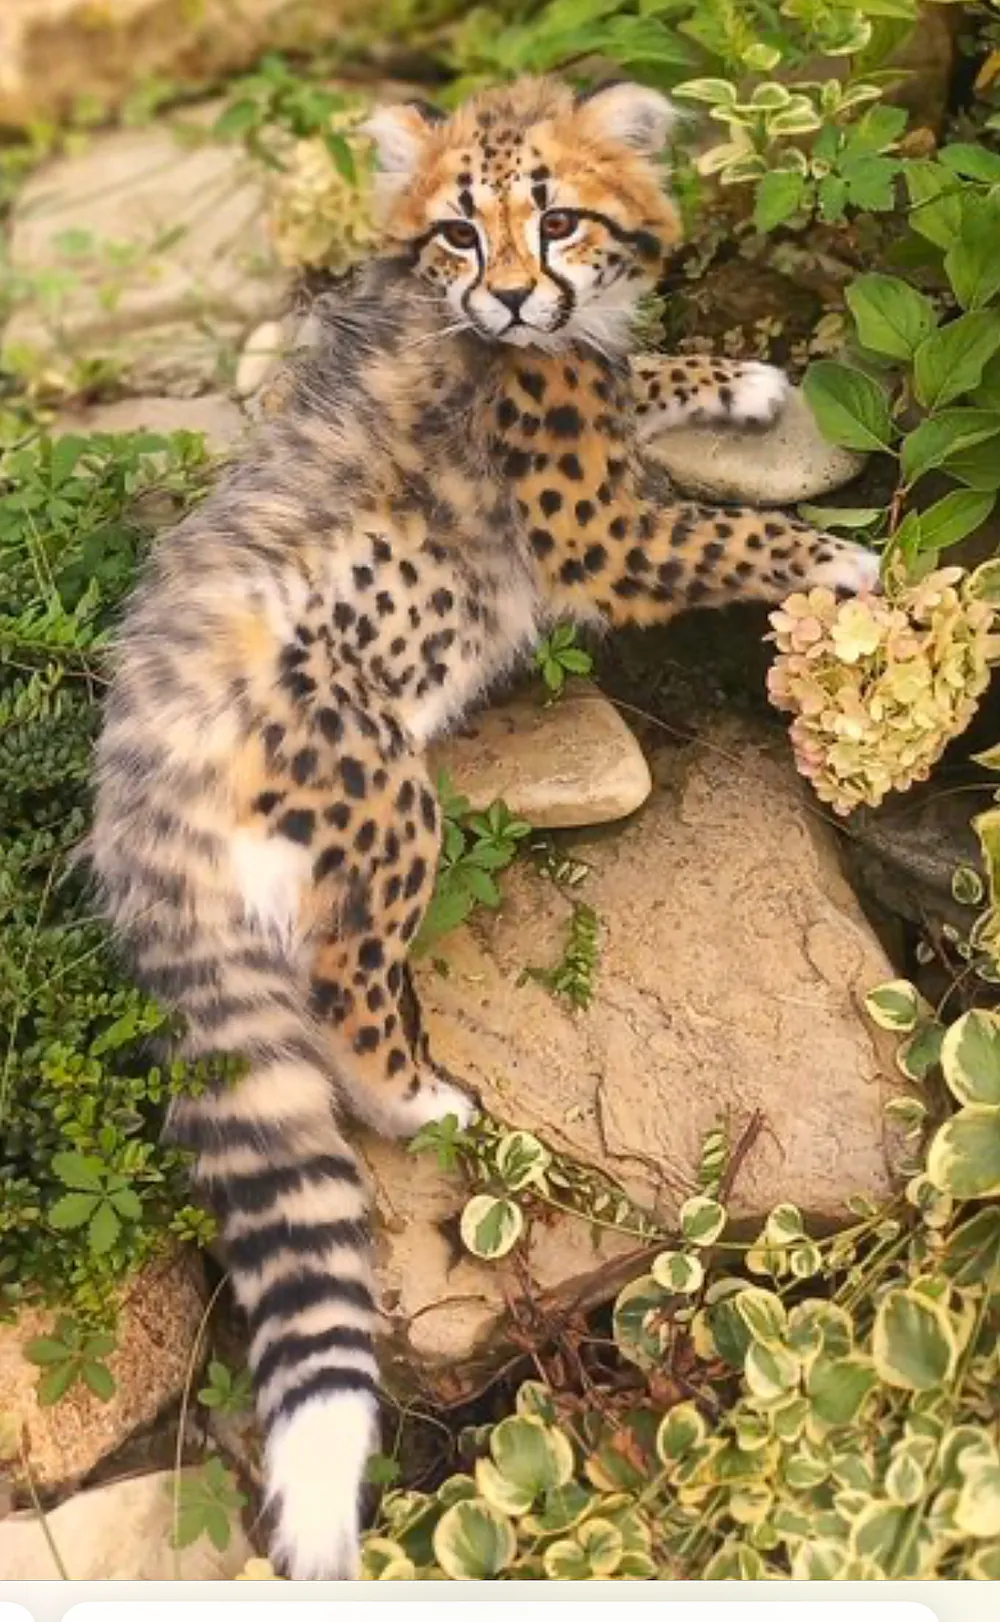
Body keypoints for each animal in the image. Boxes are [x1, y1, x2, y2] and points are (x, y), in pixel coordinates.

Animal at [90, 75, 878, 1580]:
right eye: (458, 231)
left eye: (555, 218)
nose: (512, 298)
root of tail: (134, 784)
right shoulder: (602, 537)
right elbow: (723, 533)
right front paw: (848, 559)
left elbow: (642, 371)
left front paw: (733, 380)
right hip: (384, 790)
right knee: (342, 987)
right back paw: (422, 1097)